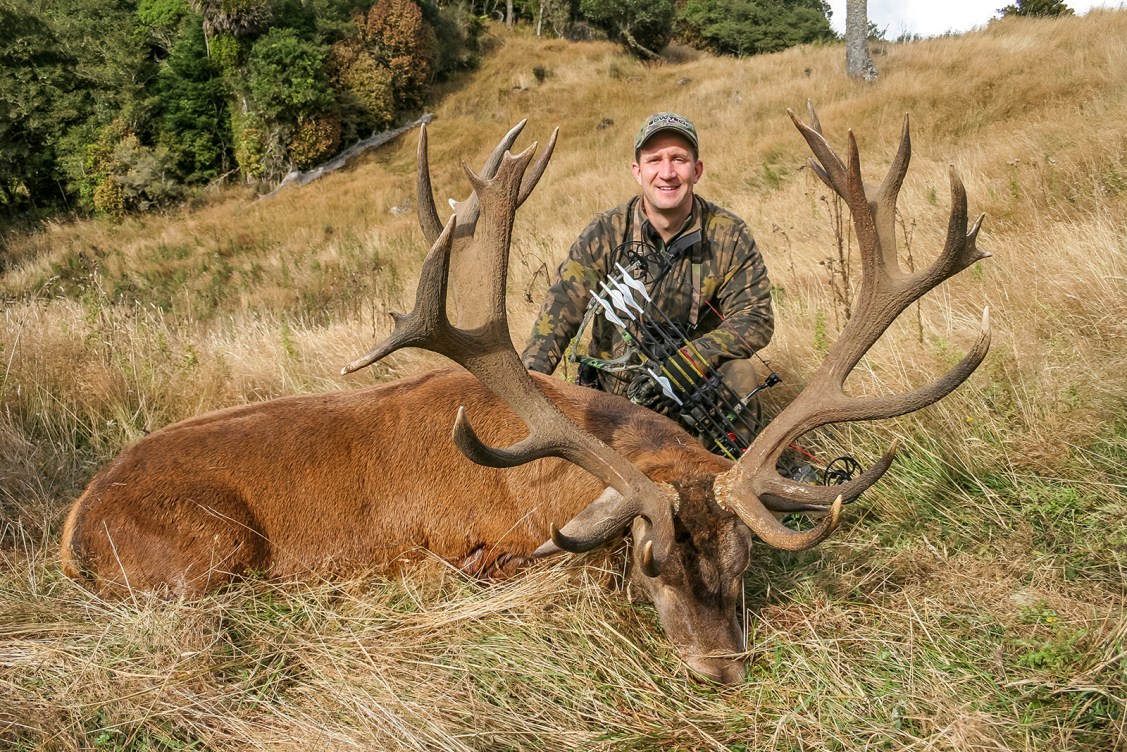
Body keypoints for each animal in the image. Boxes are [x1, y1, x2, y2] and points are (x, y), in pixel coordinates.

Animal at [60, 105, 990, 684]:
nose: (719, 669)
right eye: (648, 566)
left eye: (742, 563)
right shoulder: (460, 549)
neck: (547, 485)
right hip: (206, 551)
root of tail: (74, 525)